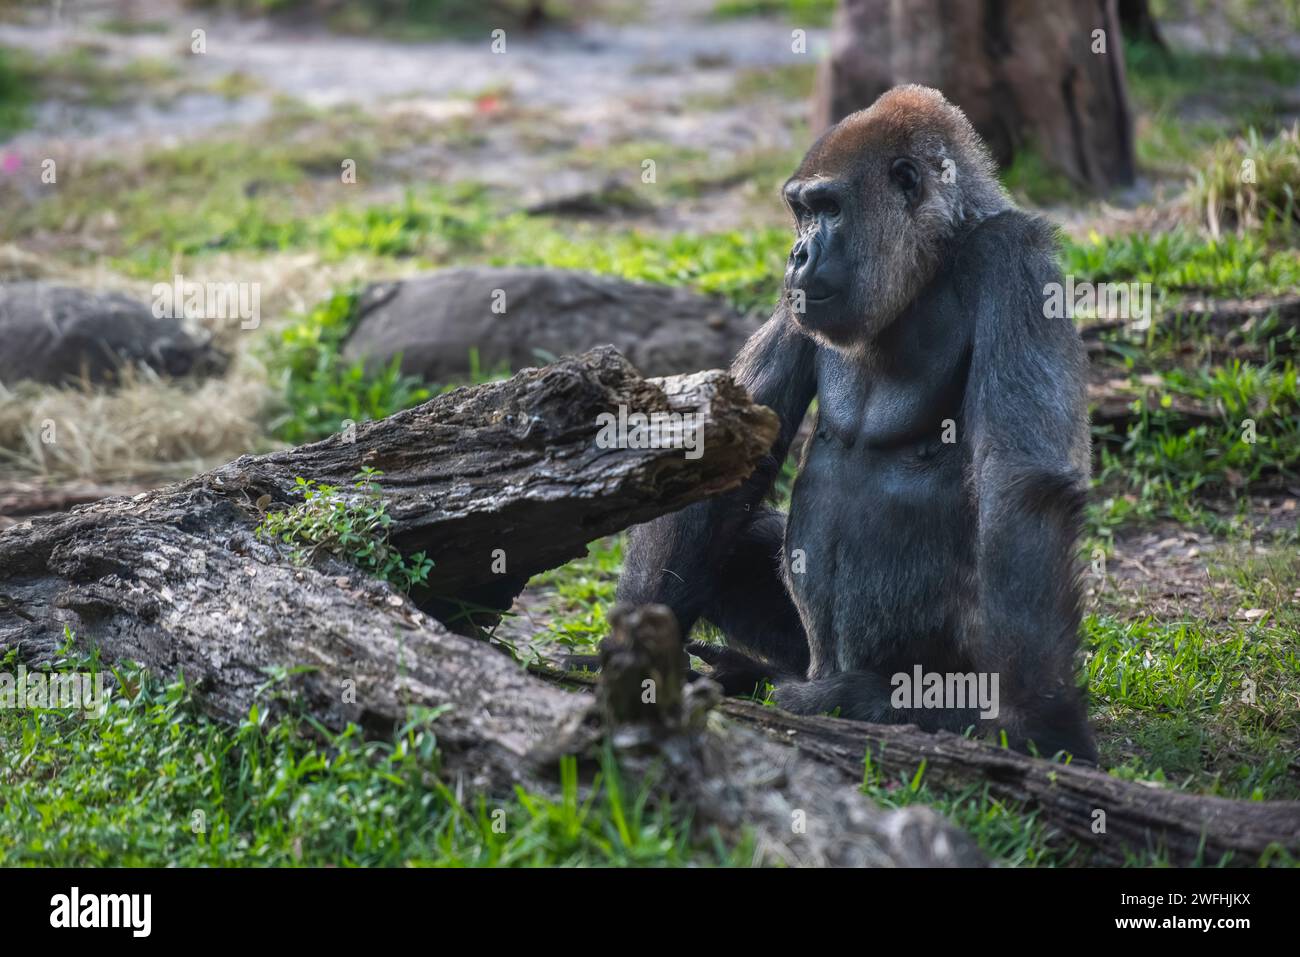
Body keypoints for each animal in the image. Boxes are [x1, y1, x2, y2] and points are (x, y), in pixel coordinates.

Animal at [615, 85, 1098, 763]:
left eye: (828, 208)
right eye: (800, 212)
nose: (797, 253)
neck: (935, 257)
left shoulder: (1015, 260)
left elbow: (1021, 489)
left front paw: (1039, 721)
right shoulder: (795, 306)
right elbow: (722, 462)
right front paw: (632, 649)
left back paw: (865, 701)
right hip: (805, 653)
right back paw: (755, 672)